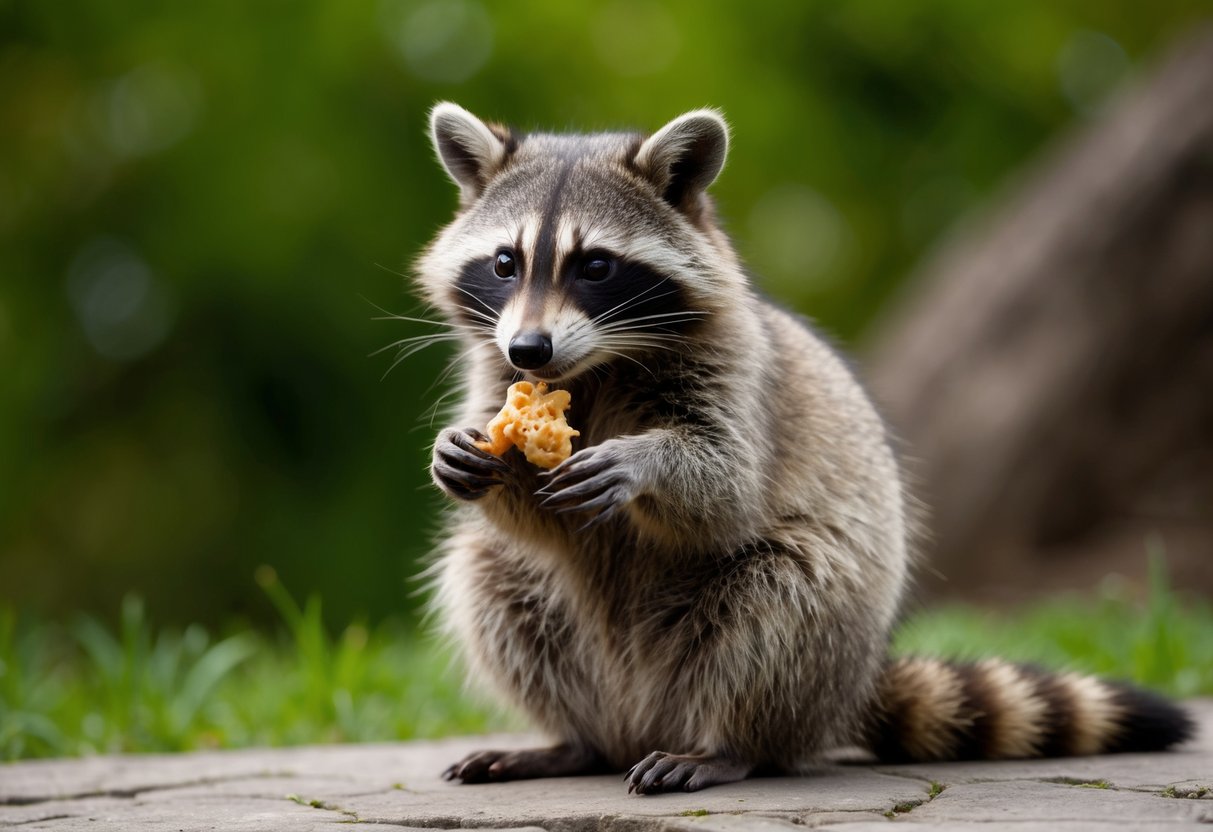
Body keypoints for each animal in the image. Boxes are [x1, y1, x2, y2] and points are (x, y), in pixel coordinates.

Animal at [415, 103, 1193, 794]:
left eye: (596, 266)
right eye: (506, 262)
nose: (530, 348)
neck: (595, 366)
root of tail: (639, 724)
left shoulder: (739, 374)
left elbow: (725, 490)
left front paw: (644, 463)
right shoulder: (495, 370)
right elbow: (530, 520)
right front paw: (462, 452)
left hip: (820, 635)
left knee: (780, 602)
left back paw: (732, 745)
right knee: (488, 573)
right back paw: (572, 740)